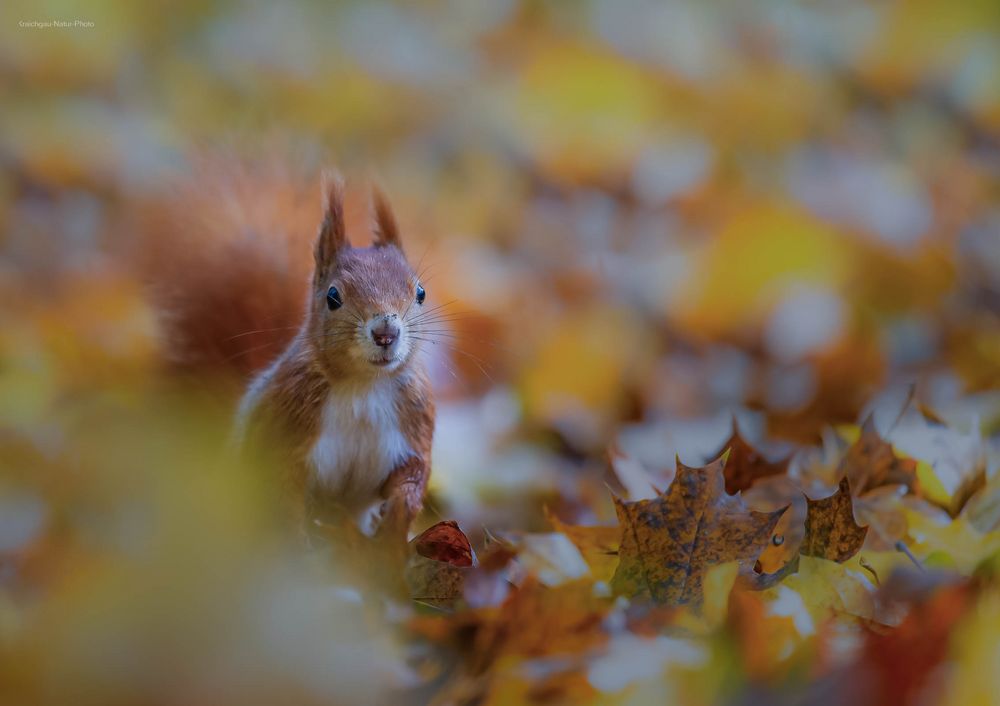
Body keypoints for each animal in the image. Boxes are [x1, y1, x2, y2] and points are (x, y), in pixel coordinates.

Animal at [142, 164, 435, 539]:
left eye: (421, 292)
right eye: (333, 296)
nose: (386, 333)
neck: (363, 385)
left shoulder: (414, 424)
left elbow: (414, 475)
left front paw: (395, 518)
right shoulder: (285, 430)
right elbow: (284, 491)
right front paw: (298, 541)